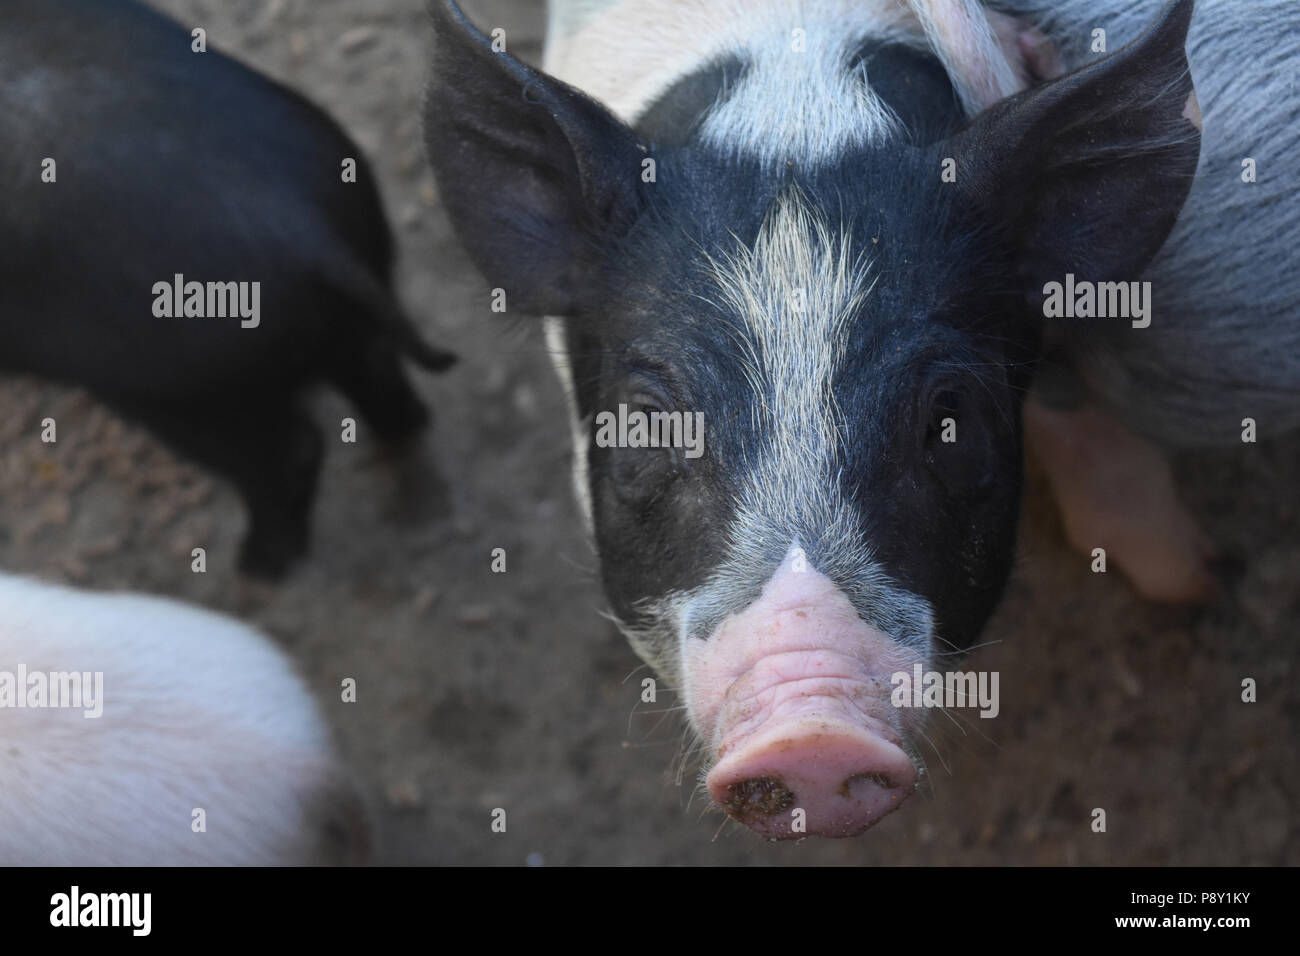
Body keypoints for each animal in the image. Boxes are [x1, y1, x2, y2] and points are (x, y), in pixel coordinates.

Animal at [0, 0, 456, 578]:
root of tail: (298, 225)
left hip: (175, 389)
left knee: (290, 450)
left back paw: (254, 568)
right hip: (350, 298)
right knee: (379, 379)